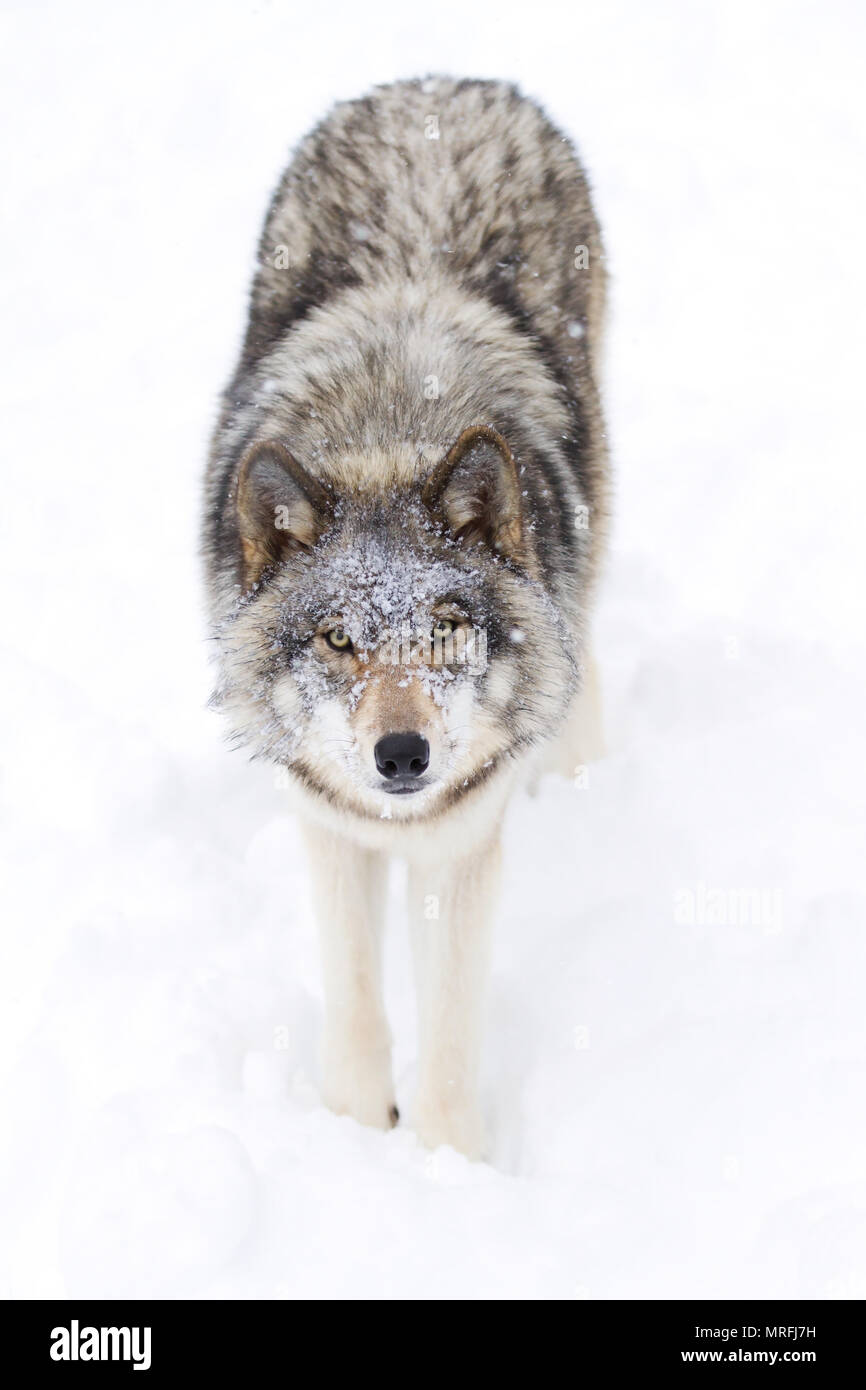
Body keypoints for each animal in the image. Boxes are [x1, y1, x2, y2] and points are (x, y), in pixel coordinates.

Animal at [203, 77, 609, 1159]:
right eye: (339, 638)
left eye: (445, 628)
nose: (401, 756)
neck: (387, 424)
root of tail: (438, 82)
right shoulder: (328, 824)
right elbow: (355, 994)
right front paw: (354, 1128)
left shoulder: (457, 844)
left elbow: (452, 1023)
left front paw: (443, 1163)